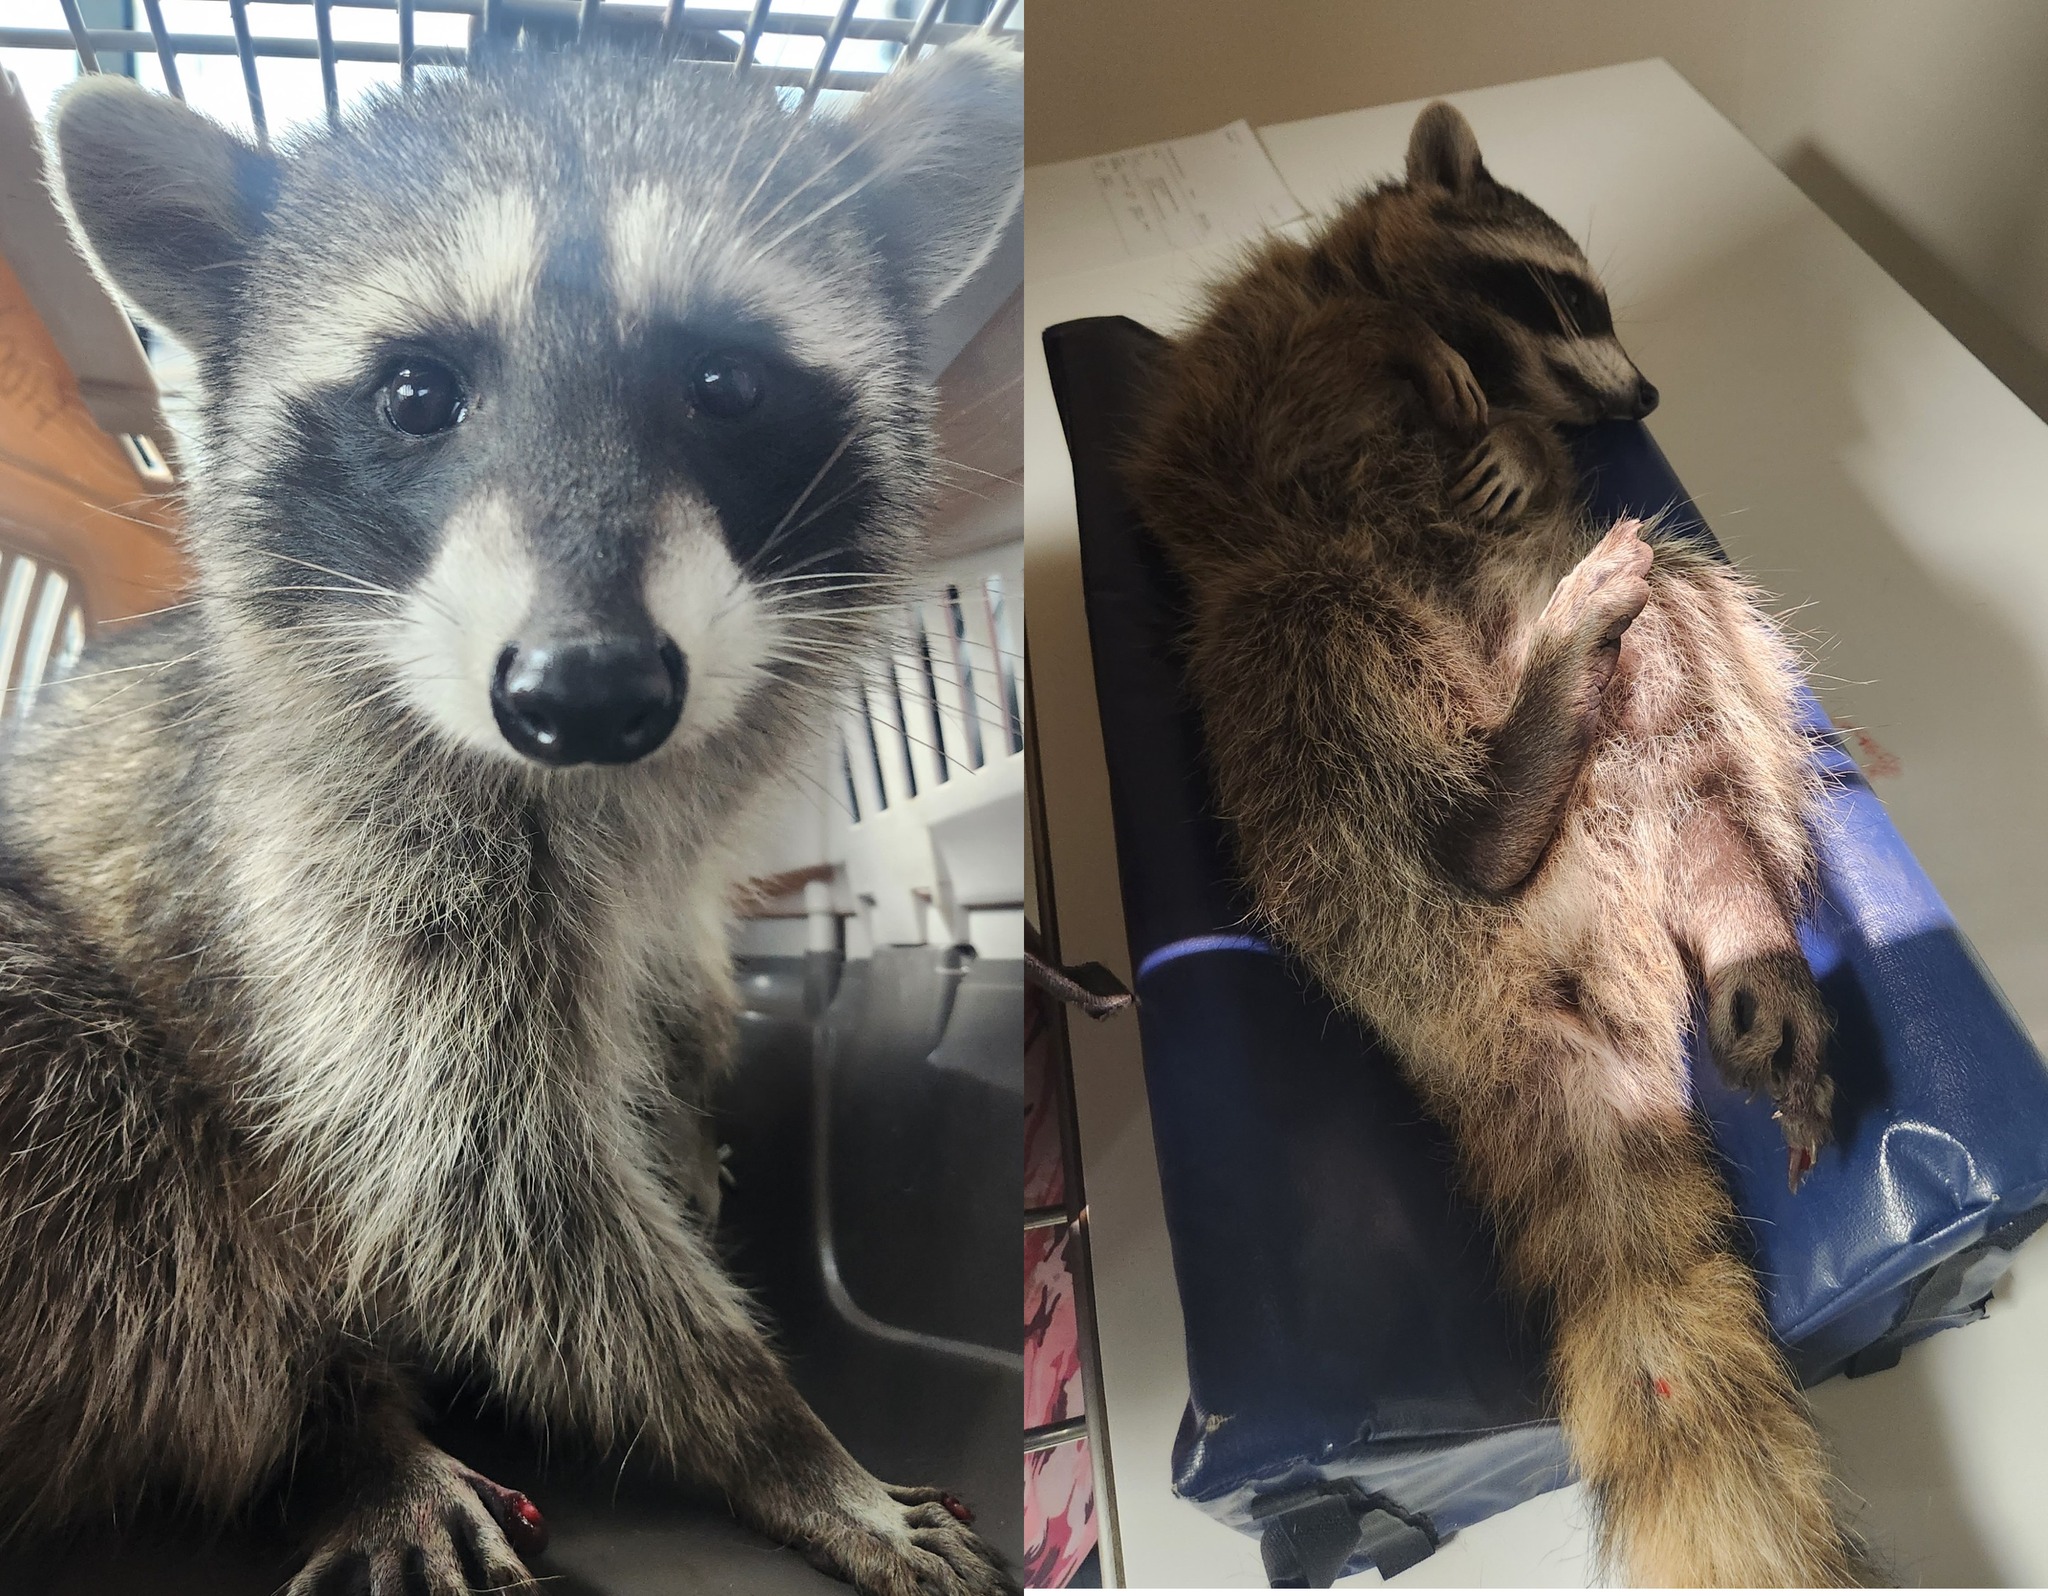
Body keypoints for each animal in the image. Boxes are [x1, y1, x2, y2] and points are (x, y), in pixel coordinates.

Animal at [0, 38, 1020, 1596]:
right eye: (416, 395)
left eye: (727, 382)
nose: (587, 691)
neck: (591, 788)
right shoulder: (325, 855)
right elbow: (489, 1185)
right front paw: (780, 1443)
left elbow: (669, 970)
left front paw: (686, 1105)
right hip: (65, 1087)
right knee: (164, 1206)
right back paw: (345, 1430)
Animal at [1126, 103, 1857, 1586]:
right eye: (1568, 297)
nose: (1644, 403)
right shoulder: (1239, 371)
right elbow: (1299, 375)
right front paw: (1425, 362)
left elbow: (1539, 460)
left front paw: (1517, 428)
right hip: (1287, 689)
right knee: (1318, 636)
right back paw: (1484, 819)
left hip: (1638, 674)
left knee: (1687, 666)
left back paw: (1734, 917)